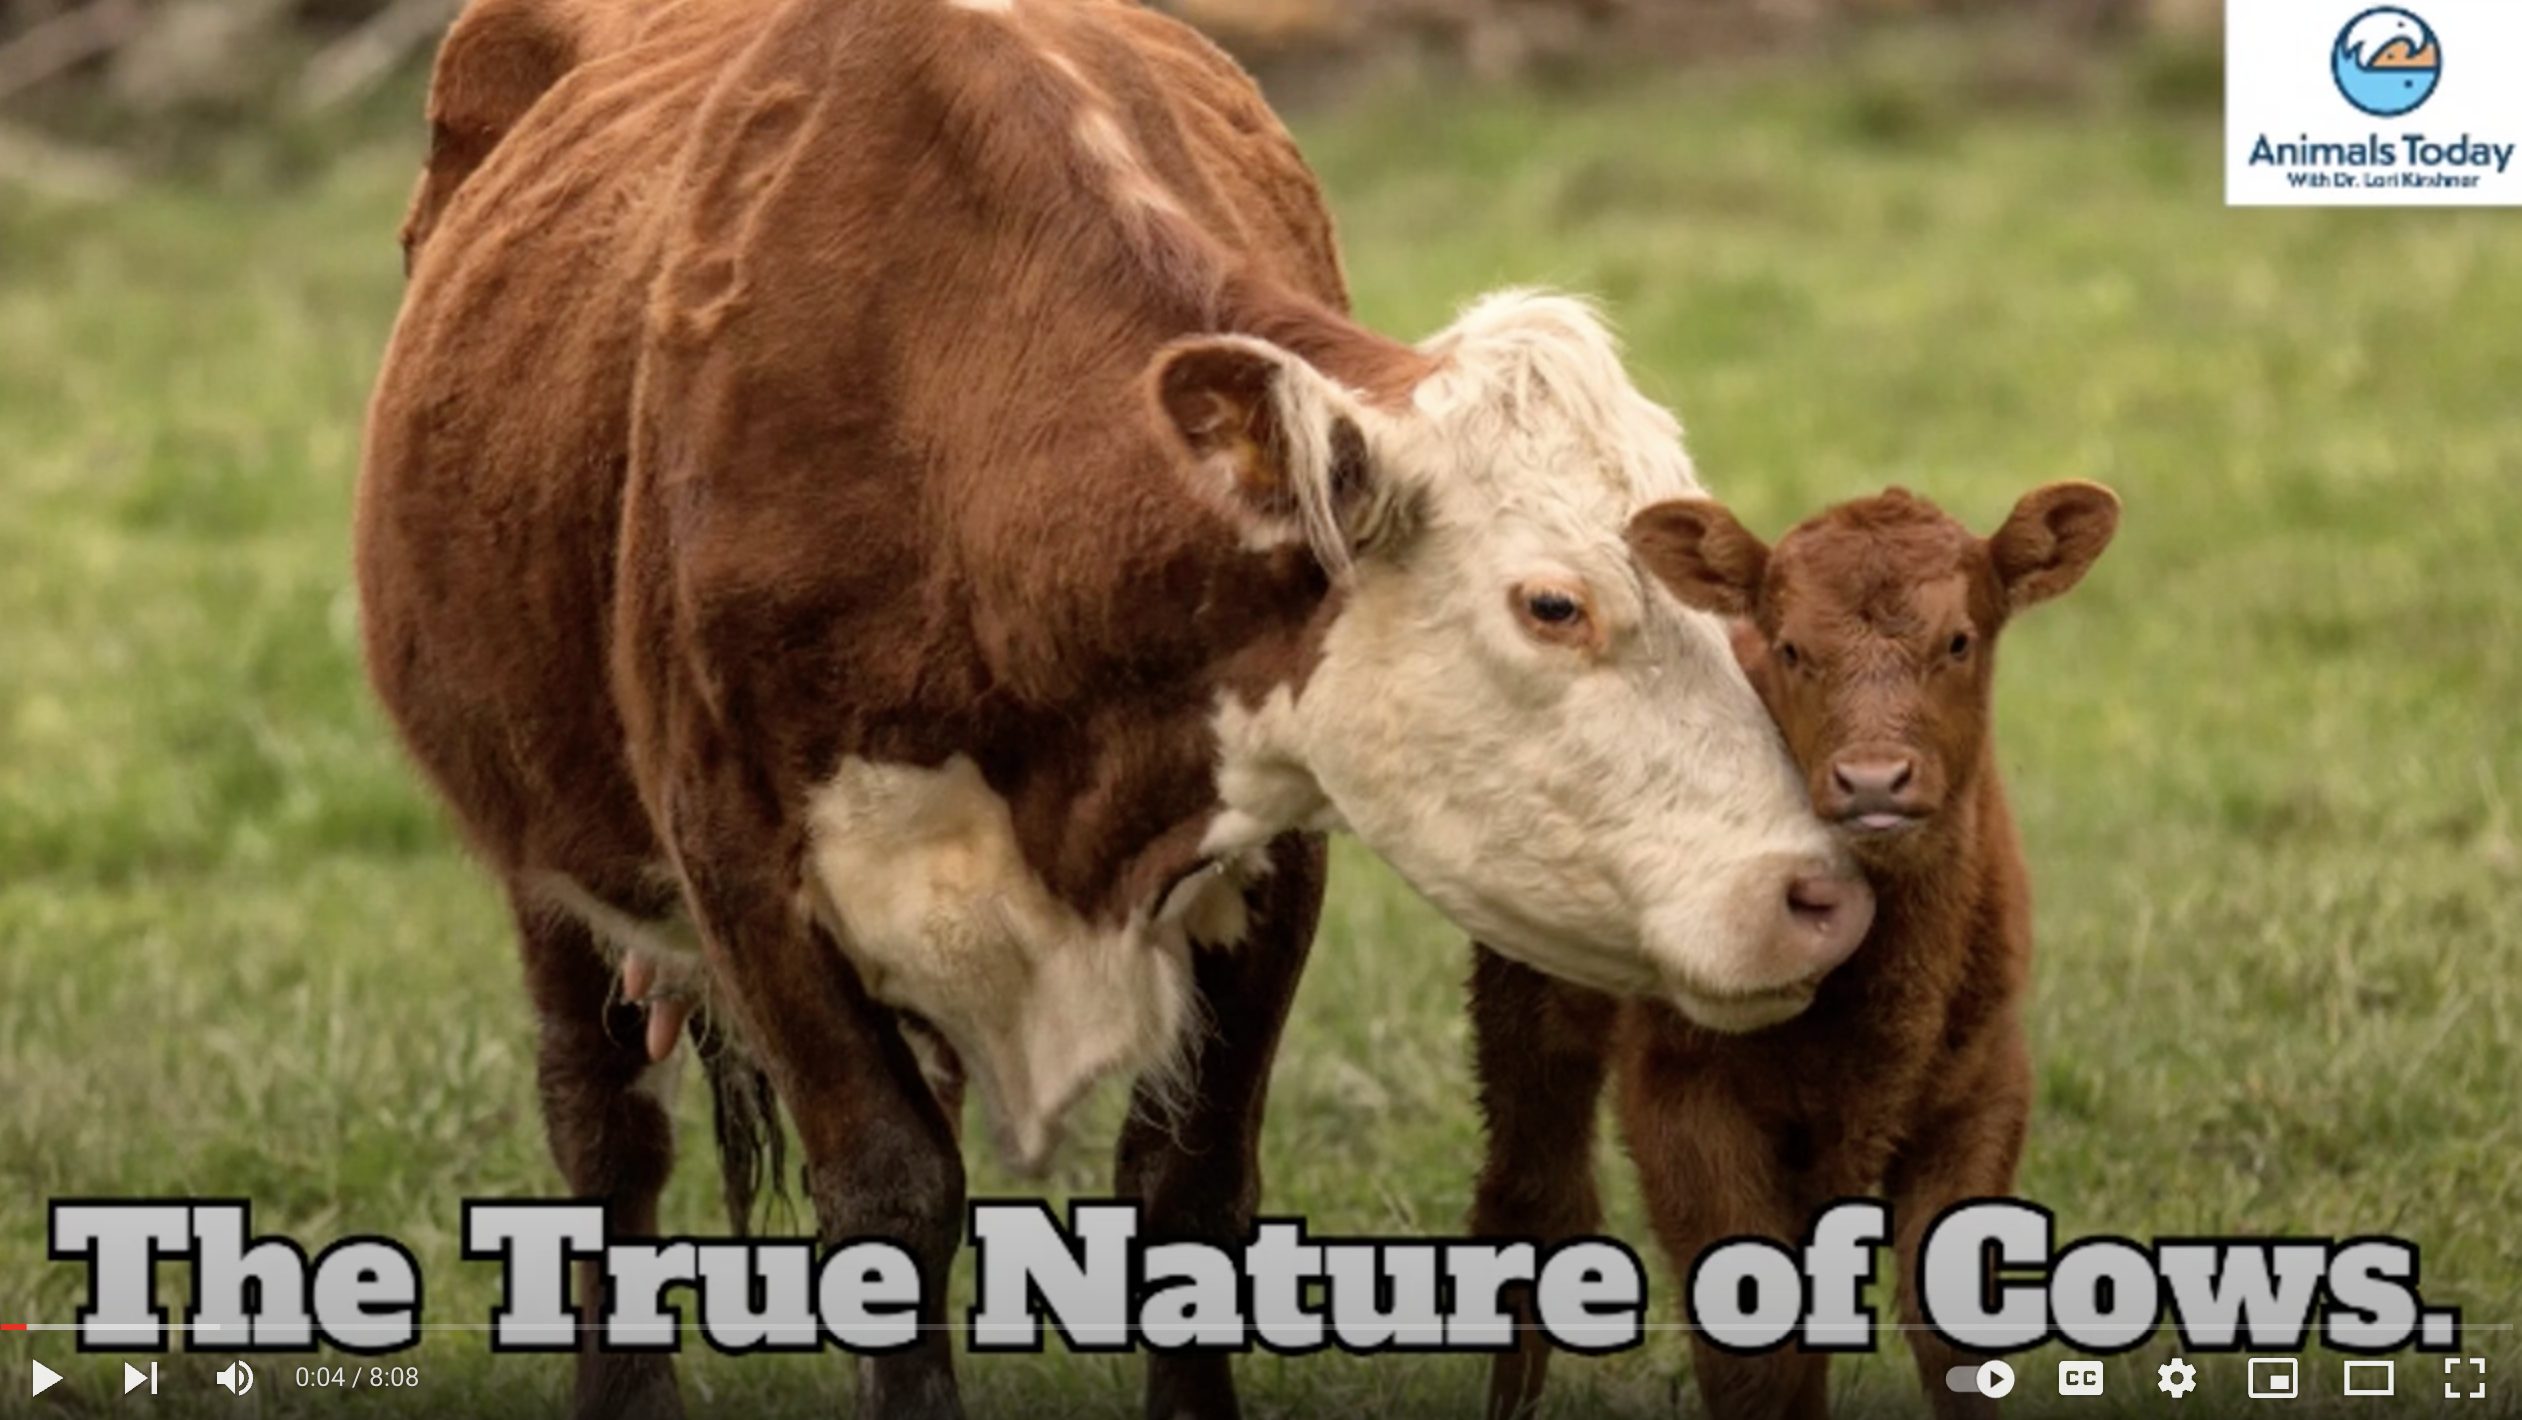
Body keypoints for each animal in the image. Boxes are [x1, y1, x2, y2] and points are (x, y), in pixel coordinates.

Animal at [356, 0, 1874, 1414]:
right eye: (1552, 604)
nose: (1819, 894)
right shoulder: (738, 862)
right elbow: (889, 1195)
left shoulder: (1268, 843)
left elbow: (1185, 1189)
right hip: (547, 856)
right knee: (603, 1125)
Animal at [1469, 482, 2120, 1420]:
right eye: (1791, 648)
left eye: (1959, 640)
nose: (1874, 779)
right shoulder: (1684, 1095)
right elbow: (1753, 1359)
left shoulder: (1985, 1084)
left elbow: (1952, 1340)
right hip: (1529, 991)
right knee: (1533, 1200)